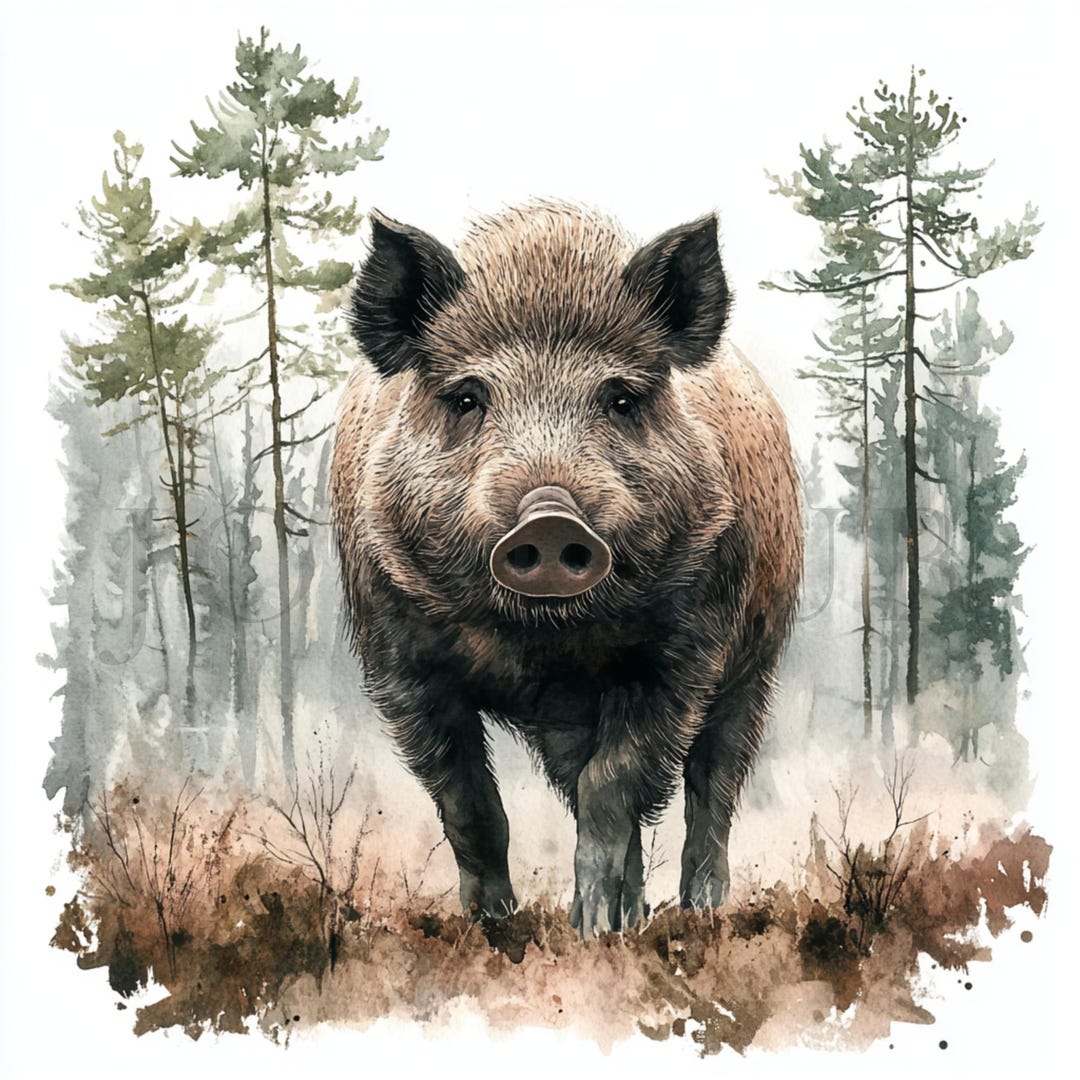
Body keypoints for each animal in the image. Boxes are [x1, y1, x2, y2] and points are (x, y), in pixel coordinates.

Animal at [330, 202, 803, 940]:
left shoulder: (684, 653)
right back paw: (632, 918)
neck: (543, 643)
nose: (550, 520)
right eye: (467, 399)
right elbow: (469, 802)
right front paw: (492, 930)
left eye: (620, 399)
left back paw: (692, 915)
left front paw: (590, 930)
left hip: (756, 664)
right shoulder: (398, 661)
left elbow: (613, 787)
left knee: (713, 784)